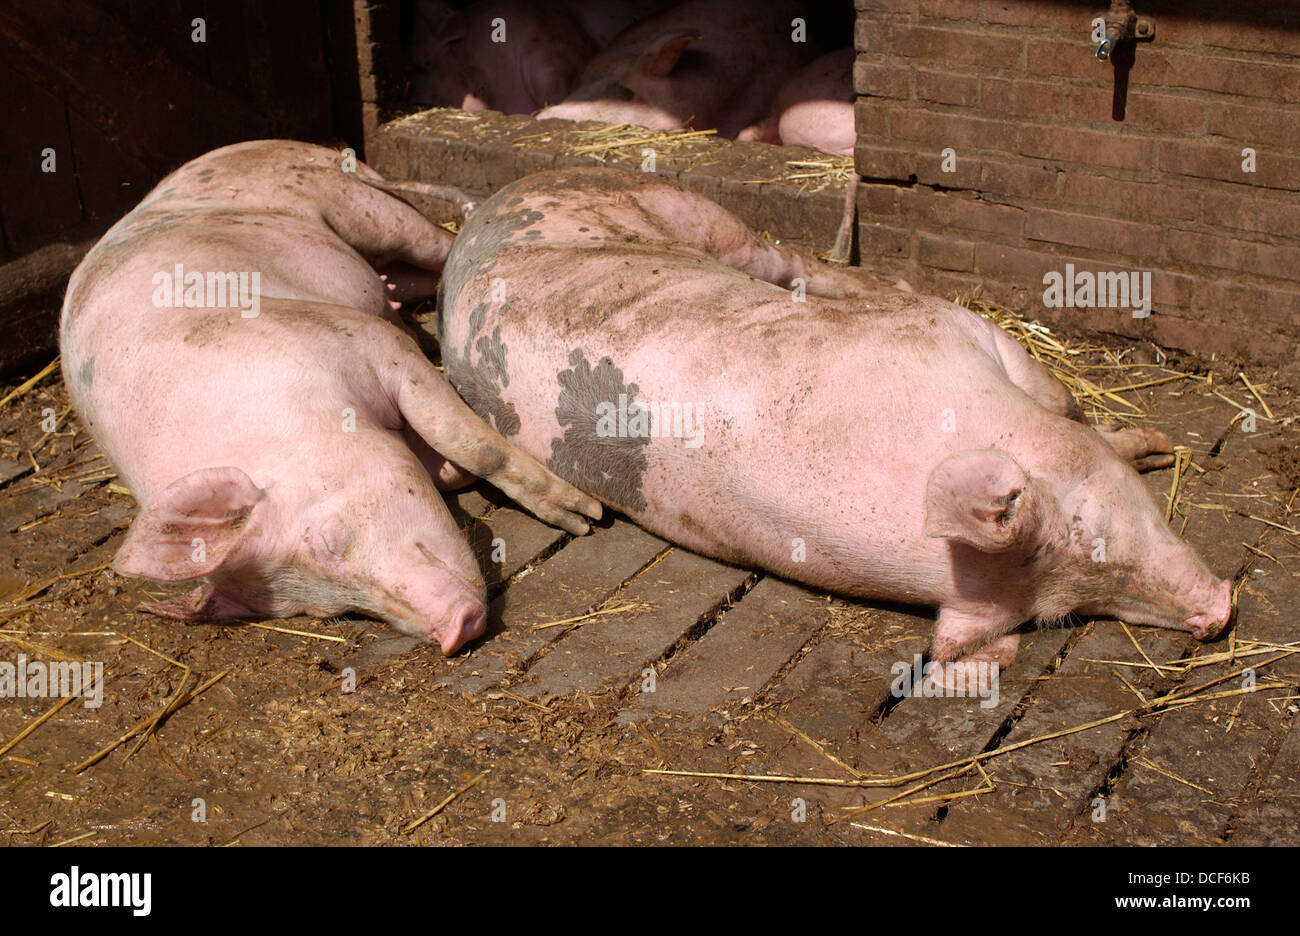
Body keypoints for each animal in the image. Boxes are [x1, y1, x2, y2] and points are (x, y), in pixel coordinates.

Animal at [59, 140, 602, 655]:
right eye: (336, 610)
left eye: (332, 540)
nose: (455, 631)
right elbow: (449, 465)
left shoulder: (368, 343)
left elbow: (472, 445)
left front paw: (585, 518)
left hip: (365, 209)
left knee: (441, 243)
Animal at [434, 167, 1232, 682]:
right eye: (1064, 613)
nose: (1219, 613)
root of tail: (488, 206)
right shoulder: (951, 335)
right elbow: (1063, 402)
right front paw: (1158, 446)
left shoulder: (950, 330)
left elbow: (1062, 400)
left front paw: (1157, 448)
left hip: (691, 215)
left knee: (797, 265)